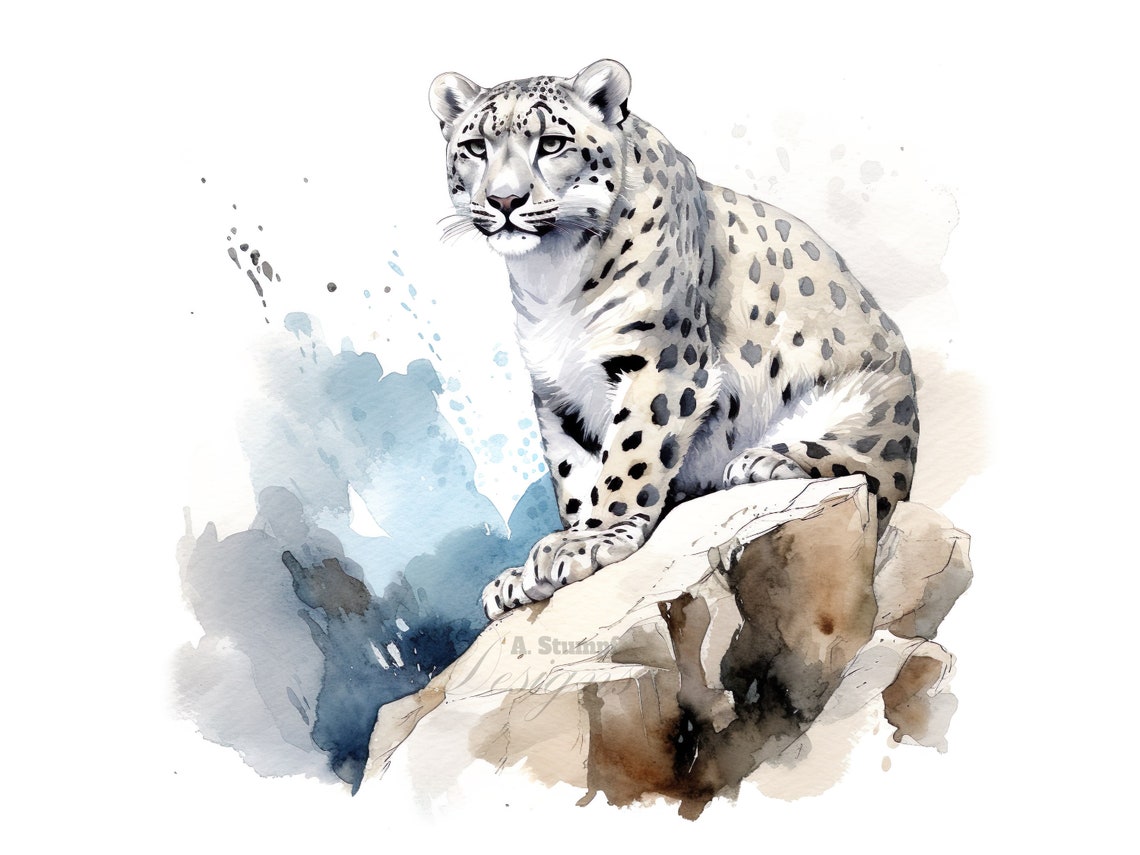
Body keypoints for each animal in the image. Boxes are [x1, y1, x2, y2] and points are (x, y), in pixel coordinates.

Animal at [429, 59, 919, 620]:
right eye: (475, 147)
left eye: (551, 143)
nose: (504, 199)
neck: (549, 275)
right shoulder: (558, 391)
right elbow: (574, 473)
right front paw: (531, 573)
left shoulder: (661, 363)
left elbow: (629, 457)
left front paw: (589, 540)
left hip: (871, 406)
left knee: (878, 478)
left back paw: (765, 461)